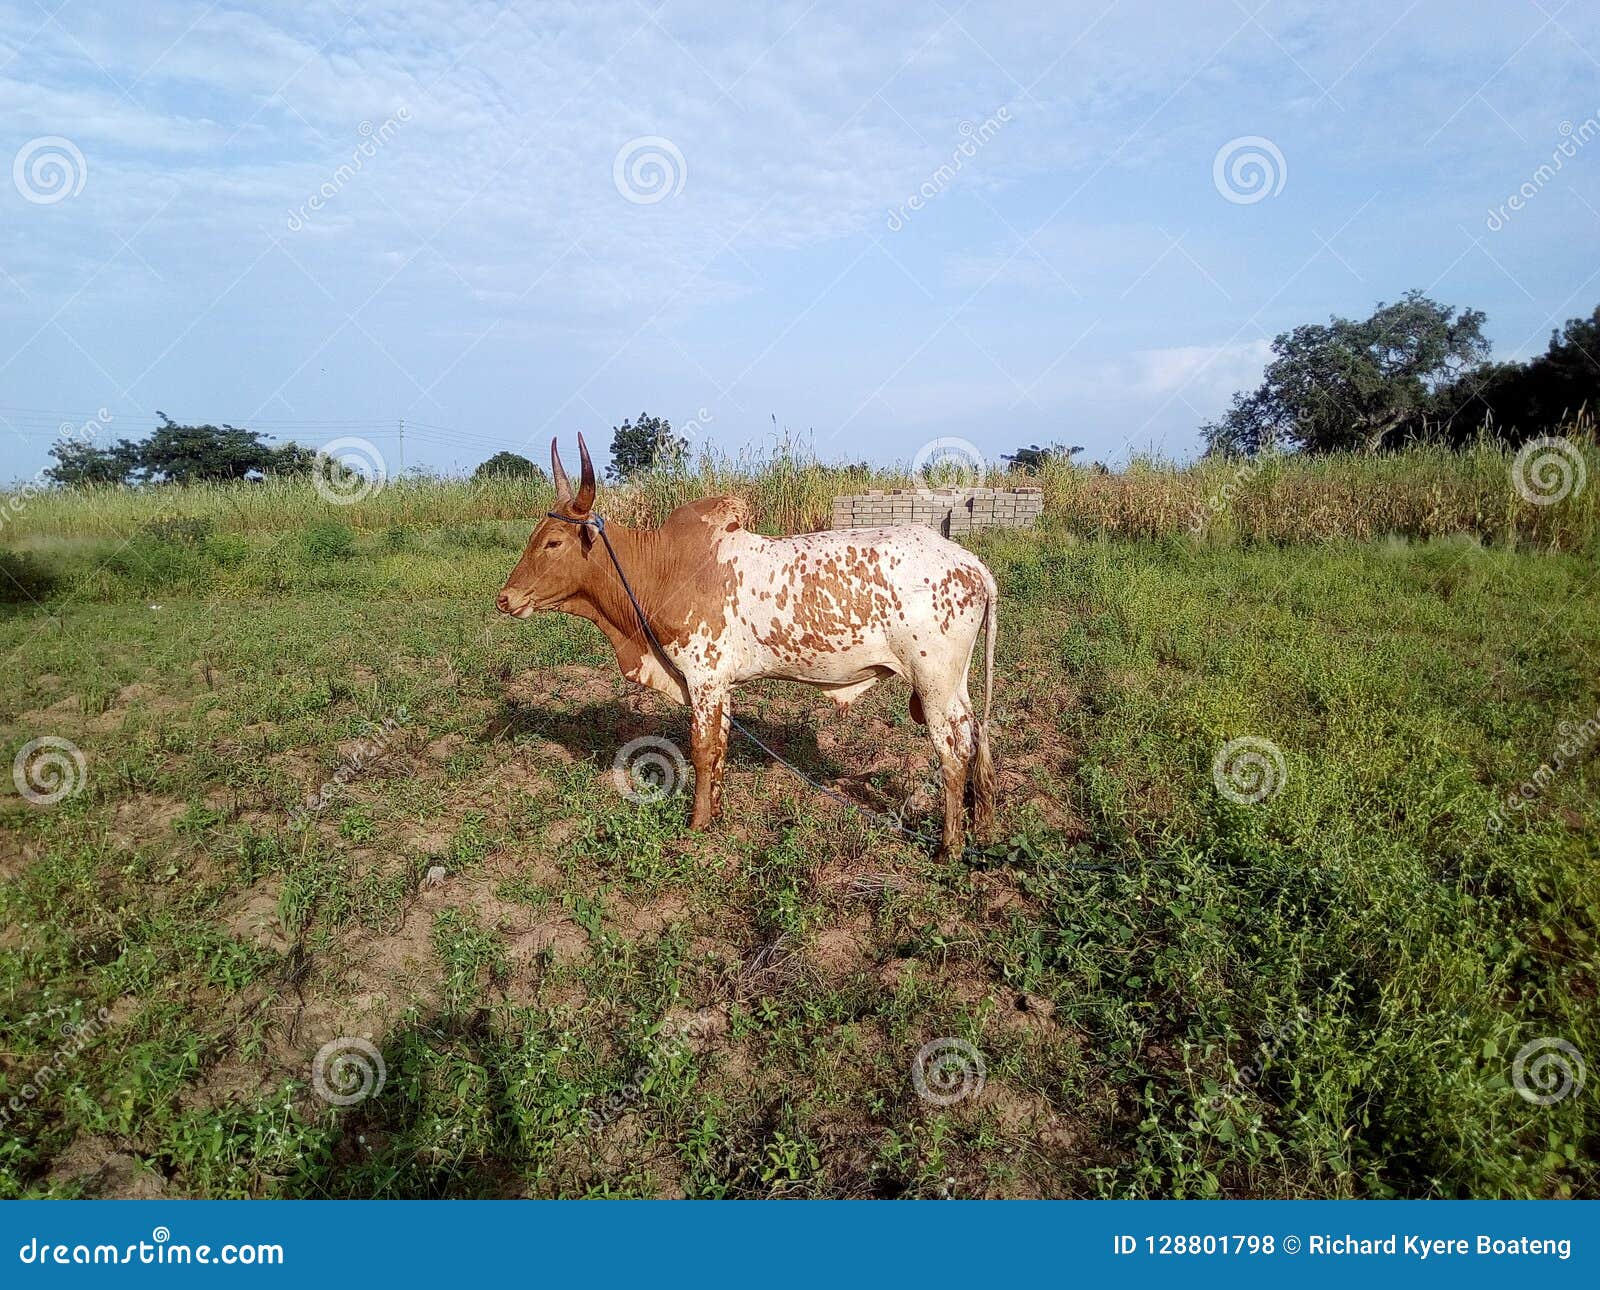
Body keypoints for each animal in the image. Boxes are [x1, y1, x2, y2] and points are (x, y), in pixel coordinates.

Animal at [496, 435, 999, 857]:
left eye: (553, 541)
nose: (505, 598)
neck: (664, 570)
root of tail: (970, 562)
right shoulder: (720, 686)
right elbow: (719, 747)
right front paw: (715, 814)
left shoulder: (702, 679)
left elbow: (700, 750)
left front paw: (696, 825)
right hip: (955, 685)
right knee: (975, 738)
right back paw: (978, 826)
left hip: (934, 684)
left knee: (953, 753)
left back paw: (949, 847)